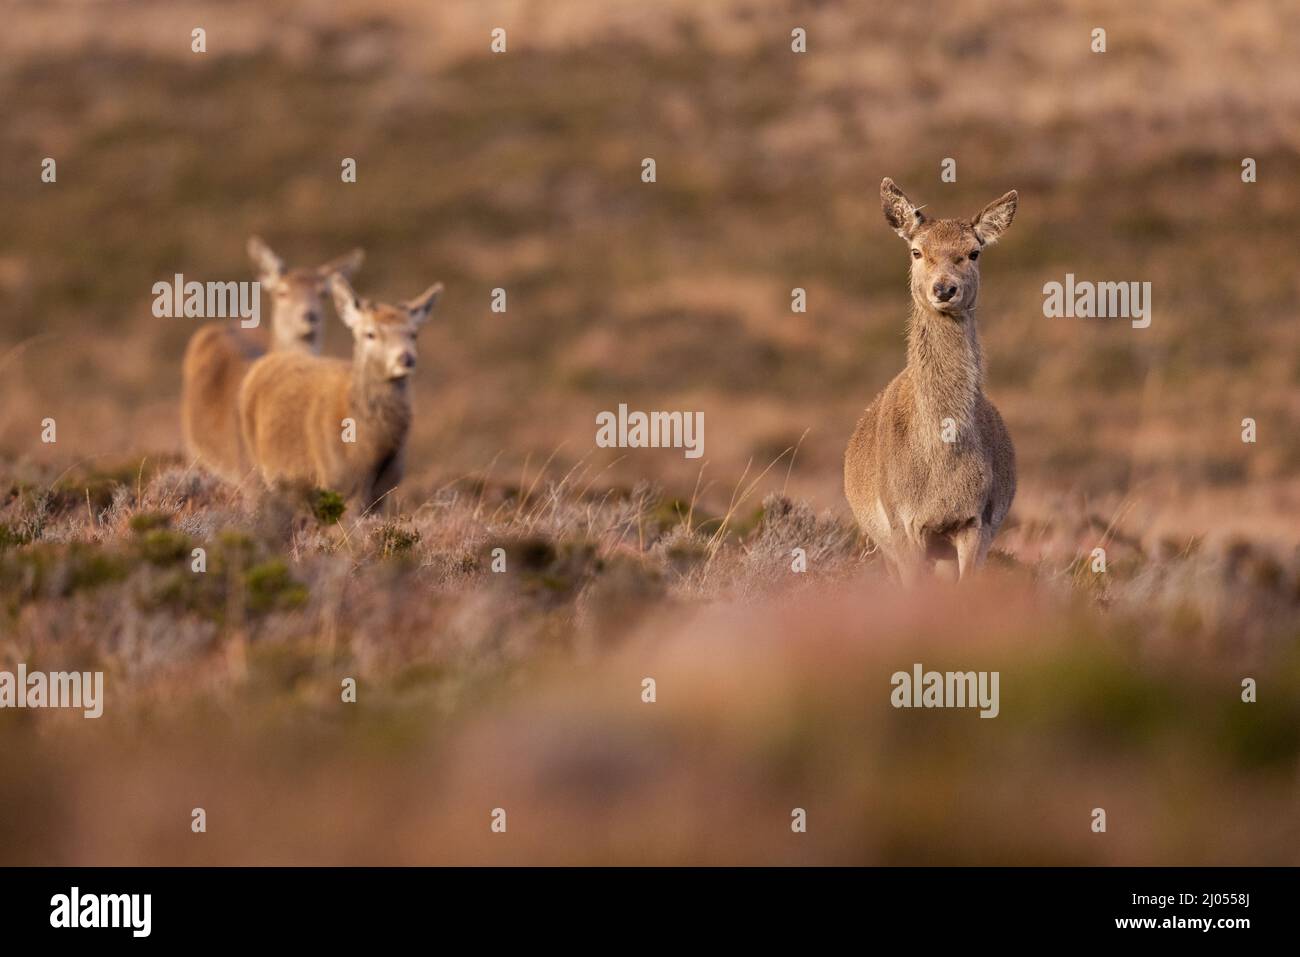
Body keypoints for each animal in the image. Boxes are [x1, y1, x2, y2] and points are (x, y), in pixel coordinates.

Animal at [238, 272, 443, 514]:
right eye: (370, 334)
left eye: (413, 334)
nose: (406, 358)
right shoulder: (339, 482)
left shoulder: (385, 491)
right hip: (254, 462)